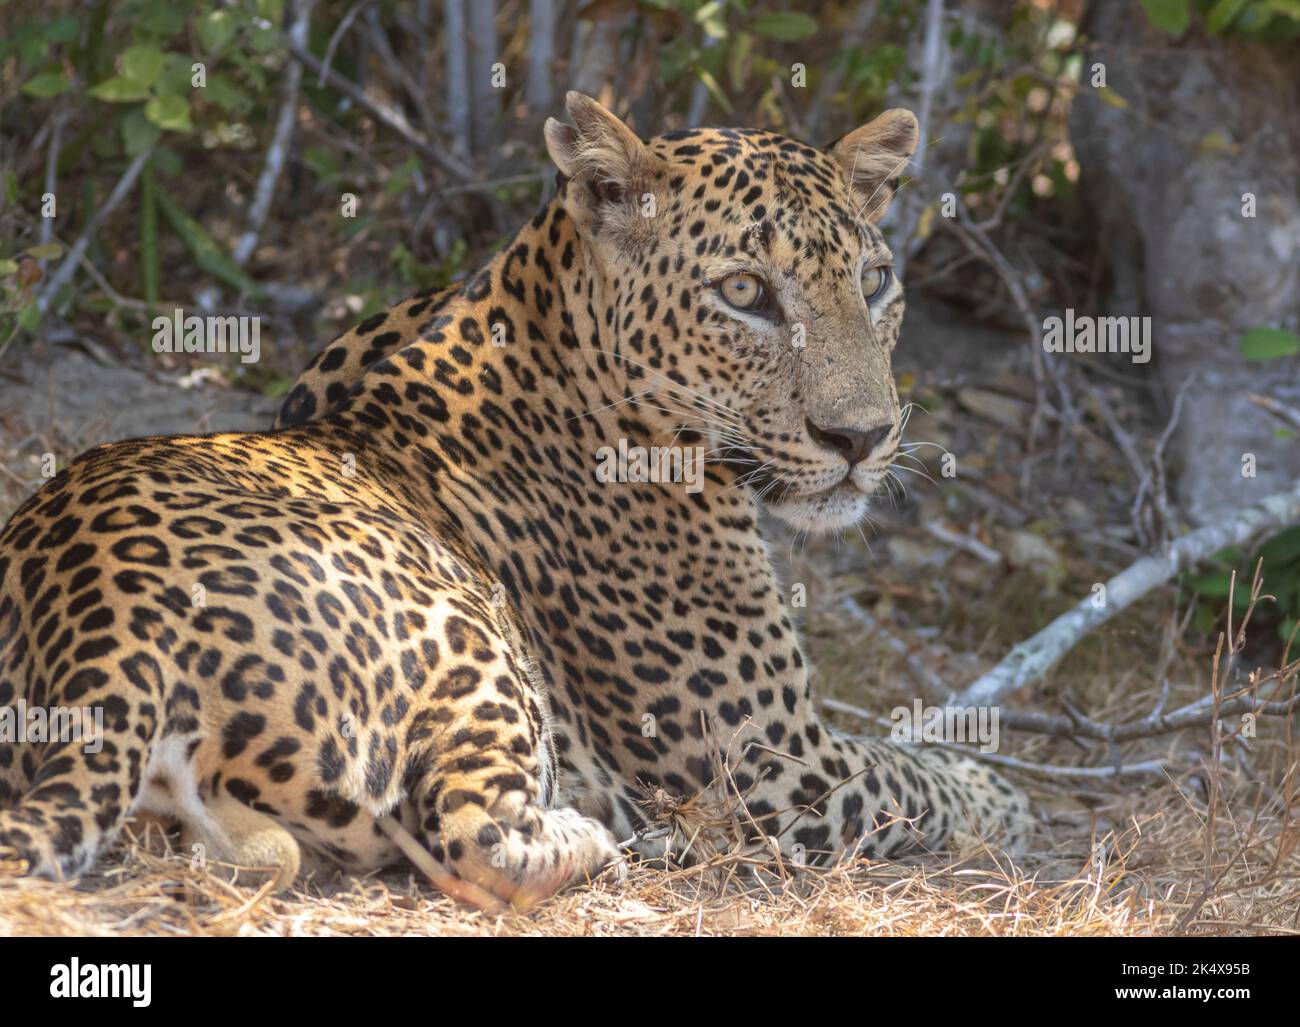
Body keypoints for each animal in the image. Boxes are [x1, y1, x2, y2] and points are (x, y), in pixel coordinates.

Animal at [0, 93, 1029, 905]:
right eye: (745, 292)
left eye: (875, 282)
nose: (862, 437)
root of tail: (104, 635)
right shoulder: (776, 764)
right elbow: (920, 774)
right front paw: (1002, 794)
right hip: (473, 640)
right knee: (476, 836)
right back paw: (605, 837)